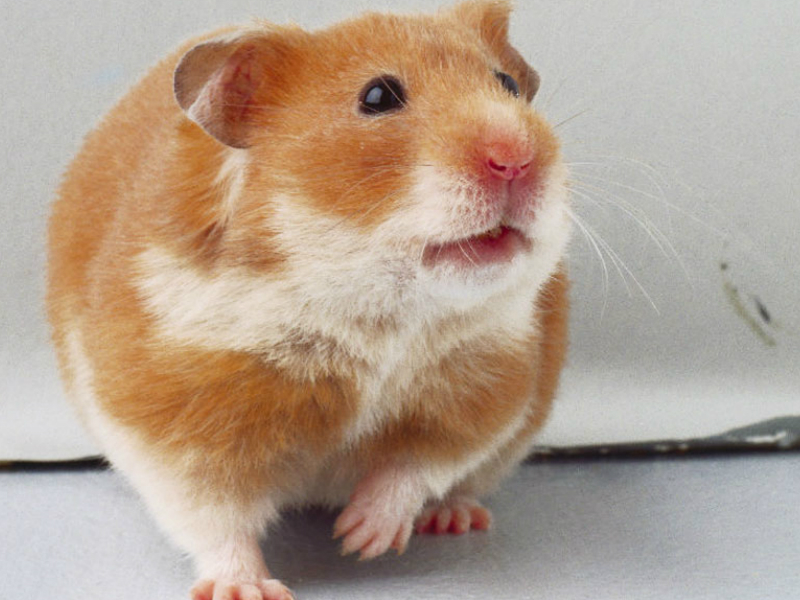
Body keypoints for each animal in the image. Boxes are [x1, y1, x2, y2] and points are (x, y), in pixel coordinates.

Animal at [46, 1, 571, 599]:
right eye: (377, 97)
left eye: (507, 84)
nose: (516, 159)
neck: (373, 310)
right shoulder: (178, 423)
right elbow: (215, 519)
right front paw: (247, 589)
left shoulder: (486, 389)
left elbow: (416, 464)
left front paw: (360, 536)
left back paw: (454, 519)